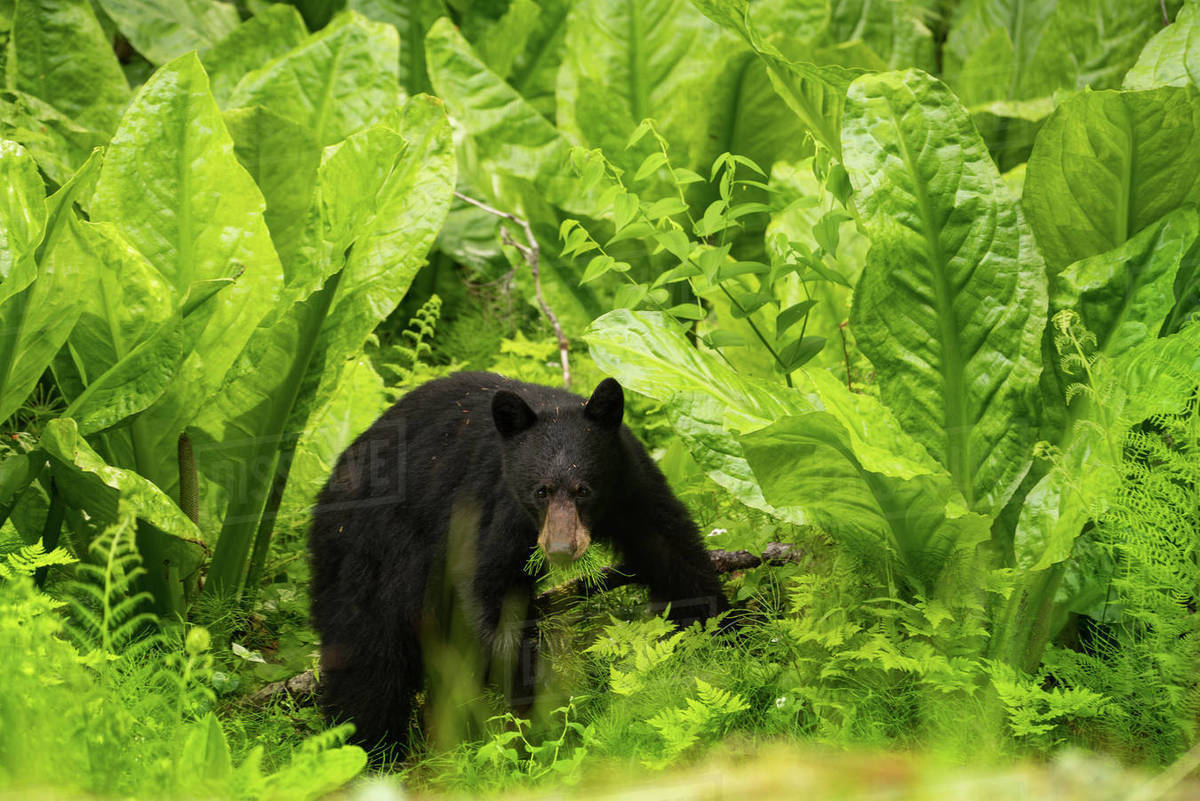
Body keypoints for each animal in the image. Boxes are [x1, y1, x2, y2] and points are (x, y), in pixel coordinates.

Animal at [308, 371, 729, 750]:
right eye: (540, 491)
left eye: (584, 489)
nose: (561, 548)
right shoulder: (496, 508)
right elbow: (490, 594)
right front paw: (539, 699)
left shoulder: (633, 488)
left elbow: (674, 556)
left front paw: (724, 636)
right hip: (366, 553)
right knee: (367, 659)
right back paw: (370, 747)